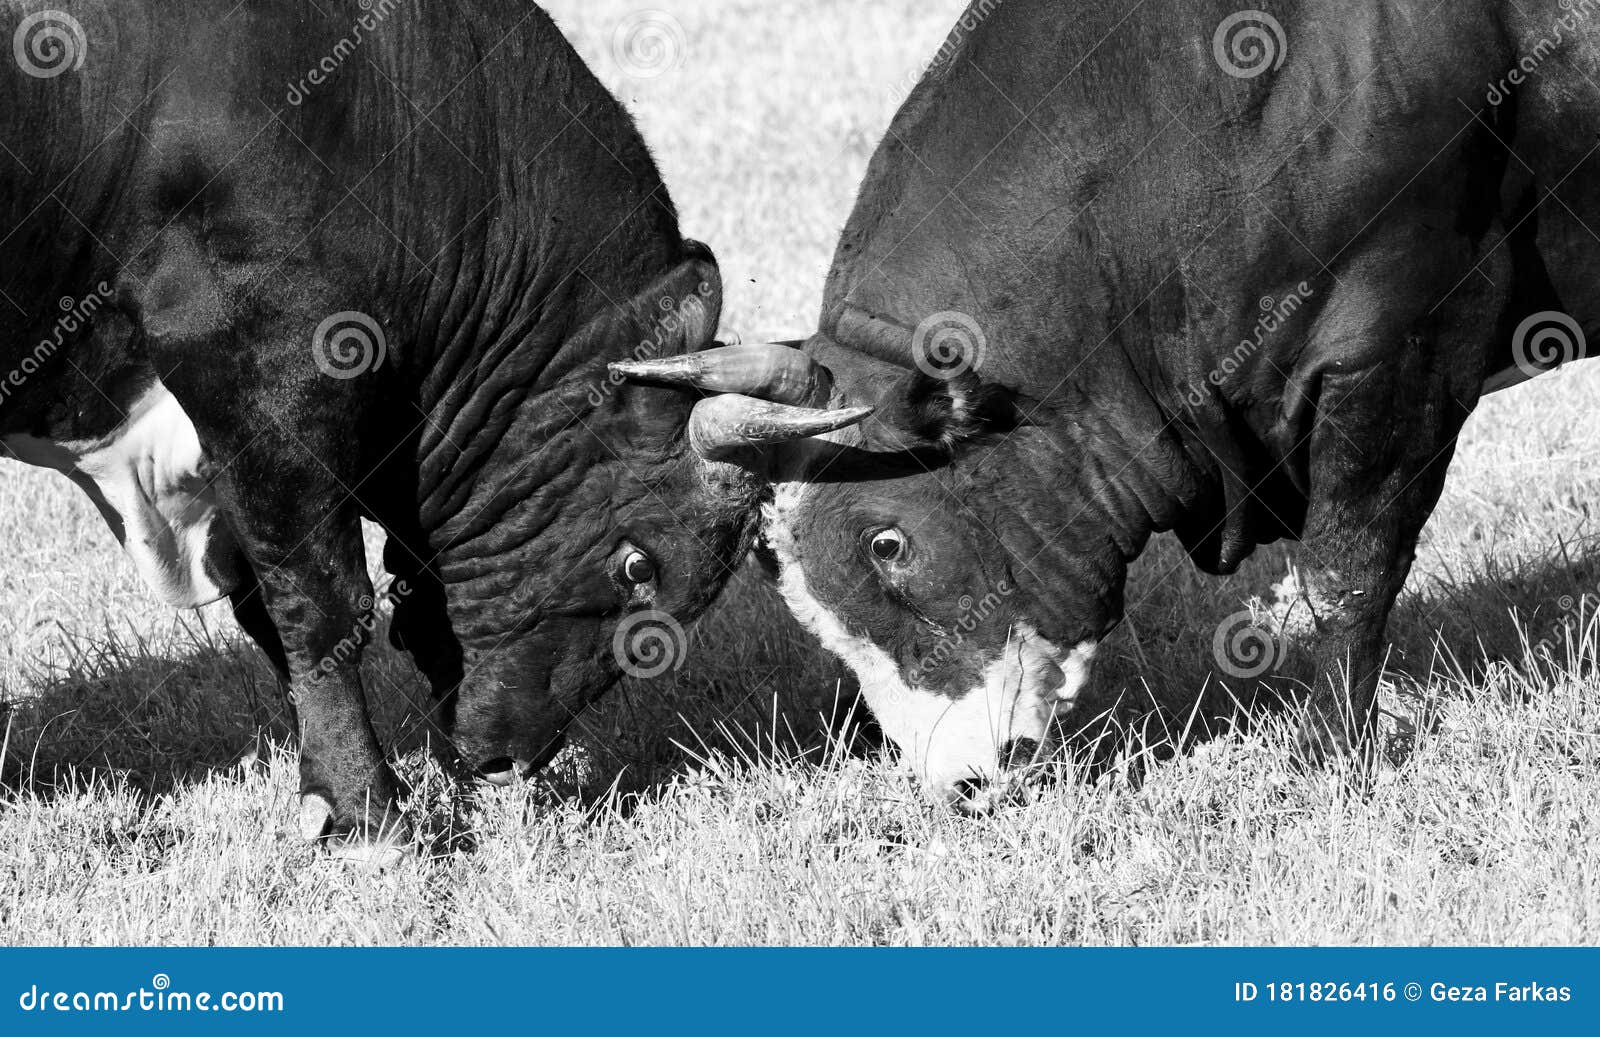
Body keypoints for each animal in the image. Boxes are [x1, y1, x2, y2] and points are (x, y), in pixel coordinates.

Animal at [0, 0, 871, 860]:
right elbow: (321, 599)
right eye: (637, 565)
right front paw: (364, 809)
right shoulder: (260, 359)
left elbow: (273, 605)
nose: (510, 761)